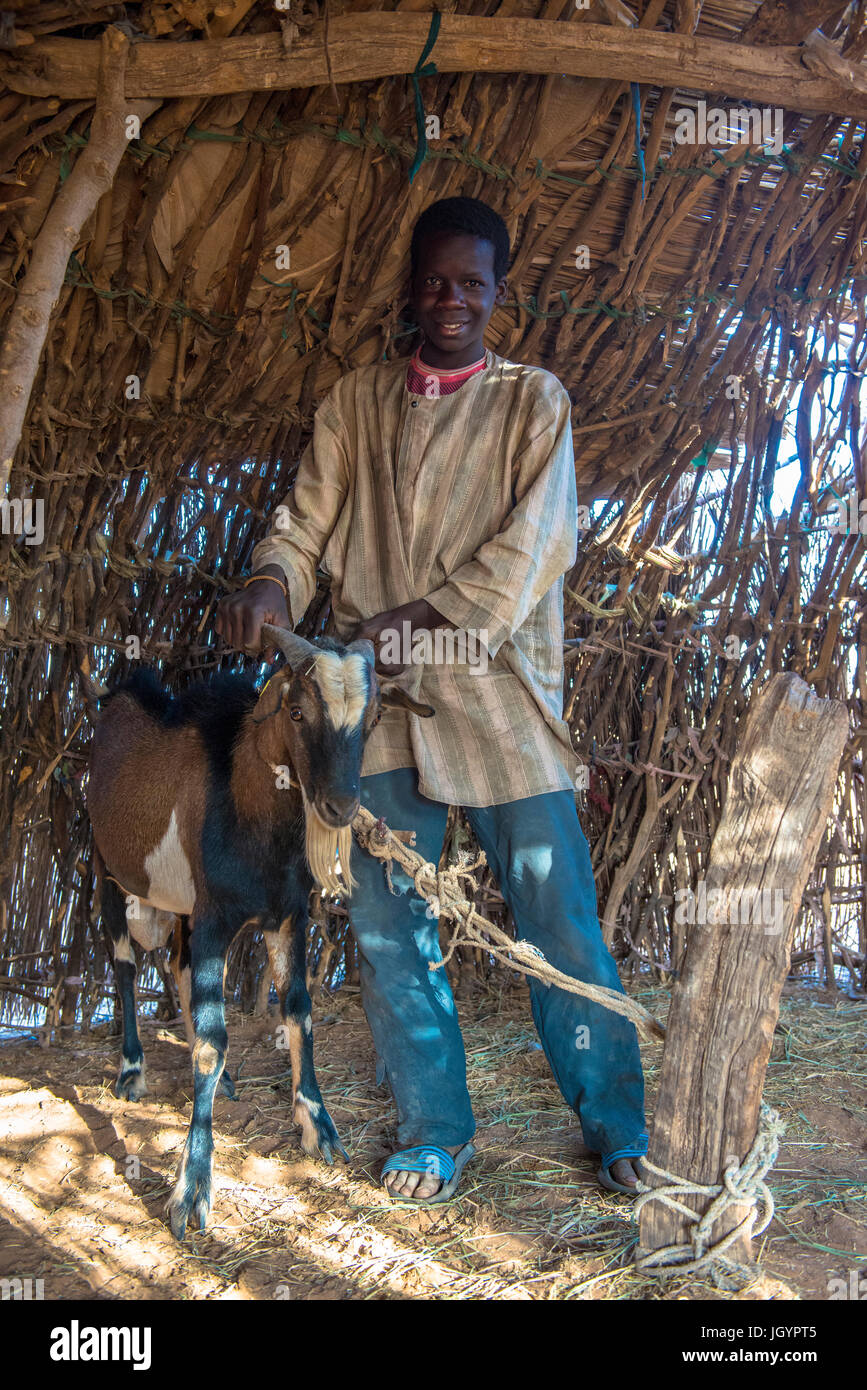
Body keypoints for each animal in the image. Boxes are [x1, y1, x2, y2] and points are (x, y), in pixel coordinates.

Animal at [86, 623, 434, 1239]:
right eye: (296, 712)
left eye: (371, 721)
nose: (340, 807)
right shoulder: (215, 919)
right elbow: (211, 1040)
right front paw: (191, 1191)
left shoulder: (285, 917)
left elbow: (298, 1012)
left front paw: (320, 1128)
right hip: (107, 869)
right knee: (125, 965)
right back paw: (131, 1071)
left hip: (184, 911)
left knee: (174, 965)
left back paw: (220, 1084)